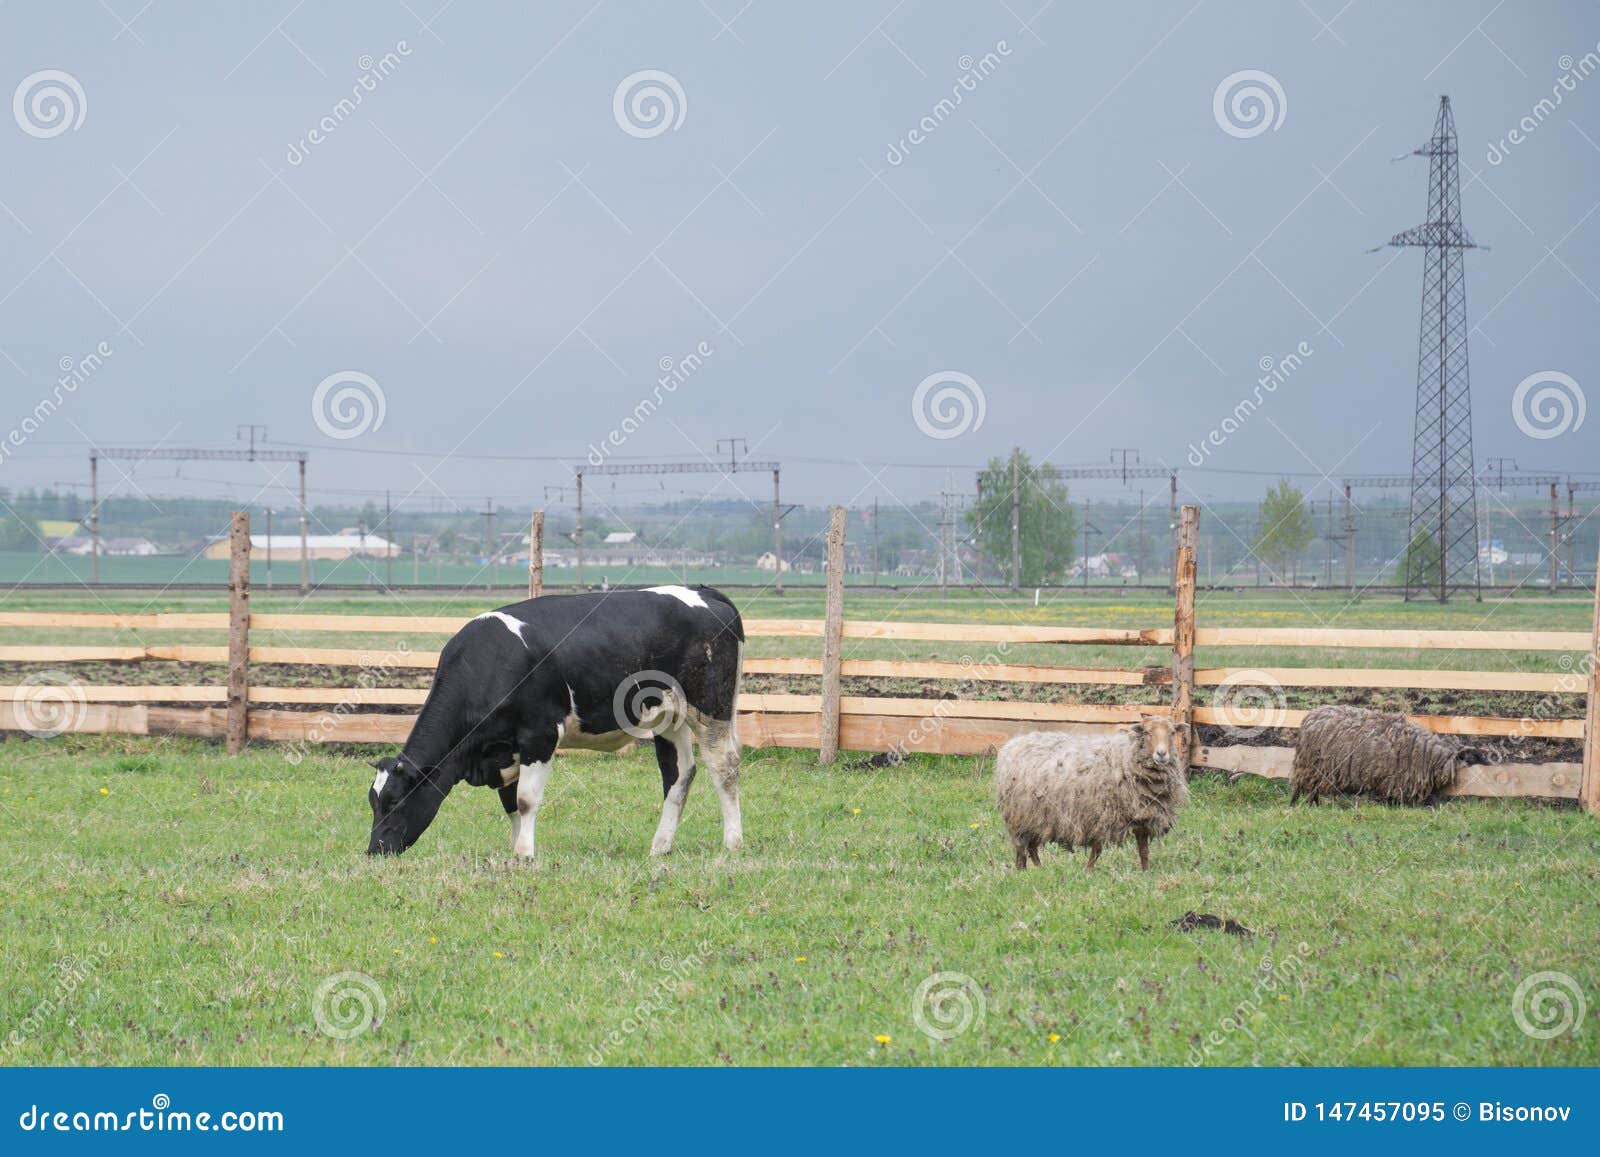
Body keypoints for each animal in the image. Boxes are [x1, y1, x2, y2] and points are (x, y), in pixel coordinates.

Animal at [366, 585, 744, 858]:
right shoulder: (504, 751)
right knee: (678, 773)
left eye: (394, 802)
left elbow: (525, 800)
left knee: (723, 767)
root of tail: (705, 592)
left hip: (711, 707)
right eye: (373, 802)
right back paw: (660, 847)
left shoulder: (539, 735)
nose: (374, 850)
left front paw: (524, 855)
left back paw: (732, 843)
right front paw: (515, 849)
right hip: (667, 717)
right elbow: (510, 804)